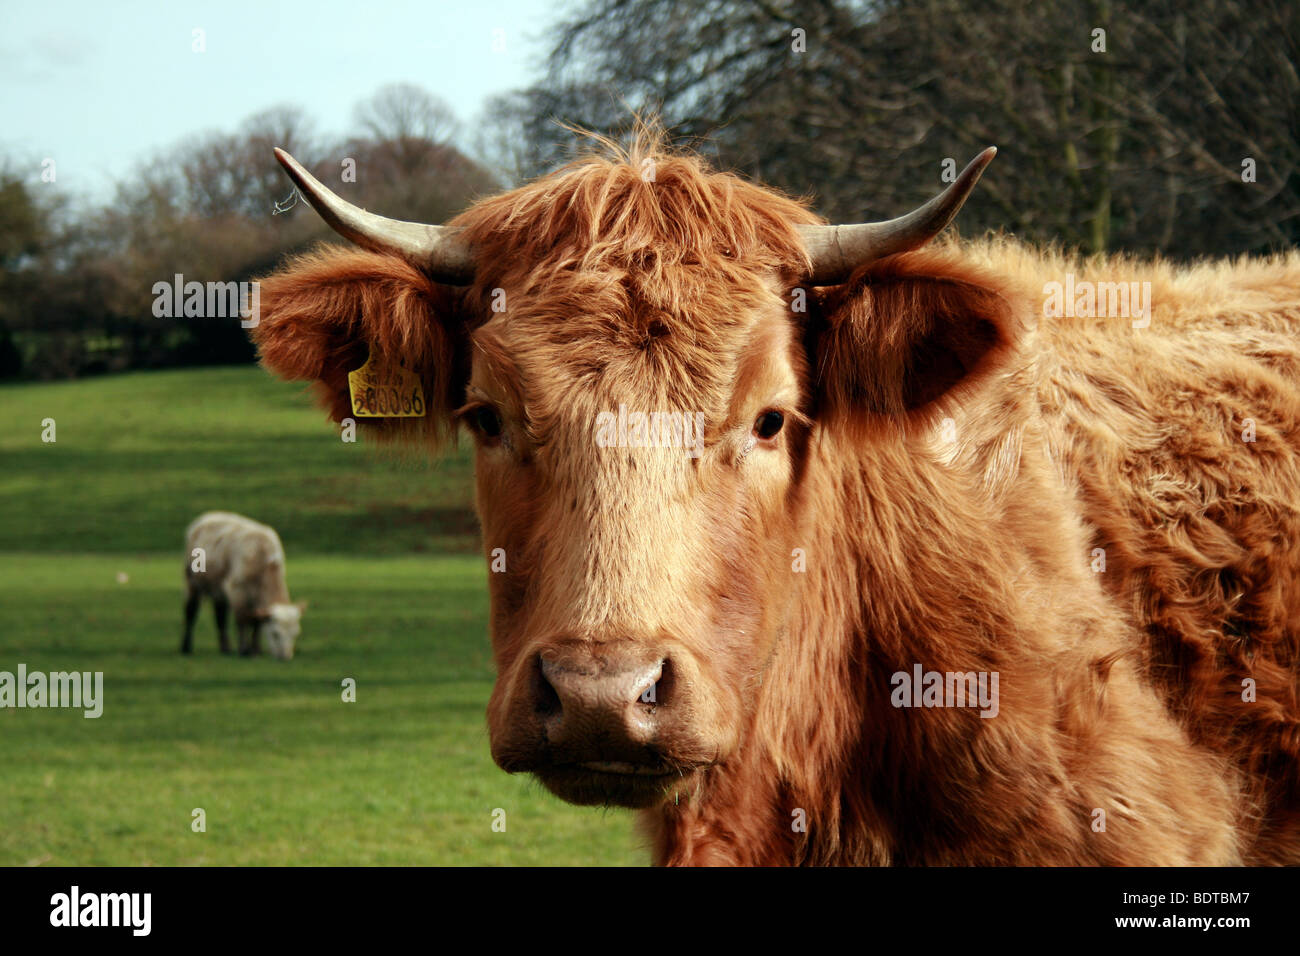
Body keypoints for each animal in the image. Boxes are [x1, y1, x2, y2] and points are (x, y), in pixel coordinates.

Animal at [182, 511, 304, 660]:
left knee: (220, 616)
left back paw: (225, 648)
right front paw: (244, 650)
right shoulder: (237, 589)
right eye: (275, 633)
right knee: (191, 612)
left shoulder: (256, 600)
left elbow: (256, 622)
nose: (285, 657)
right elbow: (242, 620)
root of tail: (206, 517)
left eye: (296, 634)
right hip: (191, 582)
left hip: (218, 589)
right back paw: (186, 647)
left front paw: (256, 649)